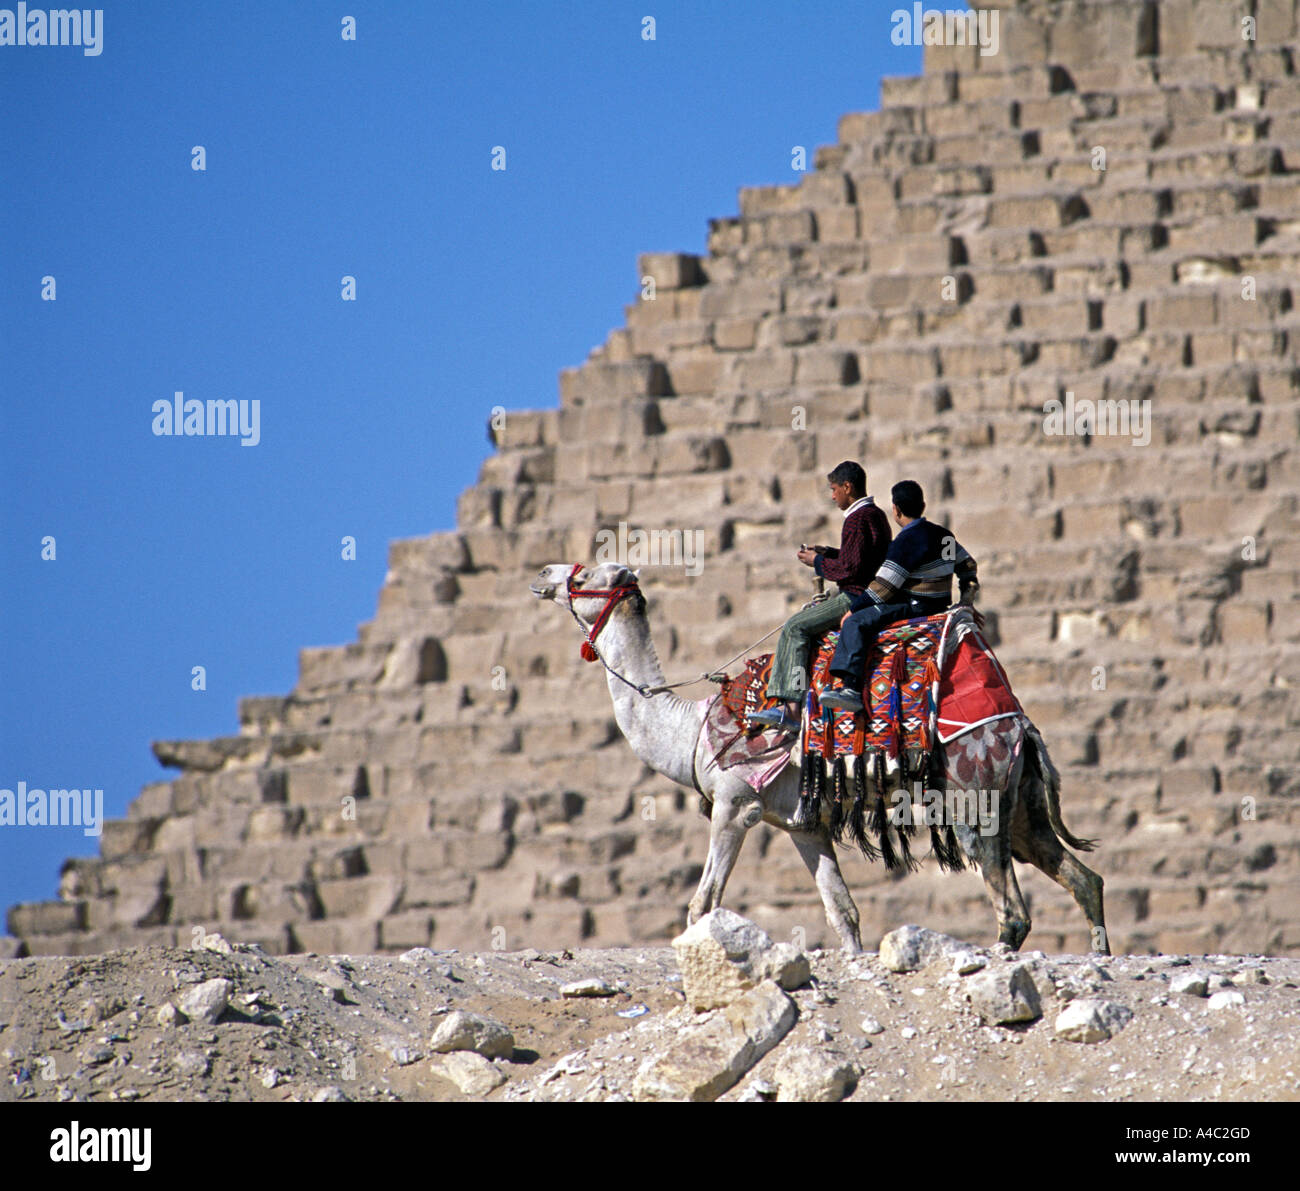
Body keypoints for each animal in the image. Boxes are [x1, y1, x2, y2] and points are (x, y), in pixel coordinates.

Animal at [530, 561, 1109, 955]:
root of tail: (1022, 728)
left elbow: (704, 903)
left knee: (1013, 911)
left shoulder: (735, 805)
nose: (543, 573)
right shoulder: (803, 825)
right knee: (1084, 878)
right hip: (1020, 803)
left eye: (590, 573)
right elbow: (843, 911)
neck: (690, 730)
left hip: (975, 794)